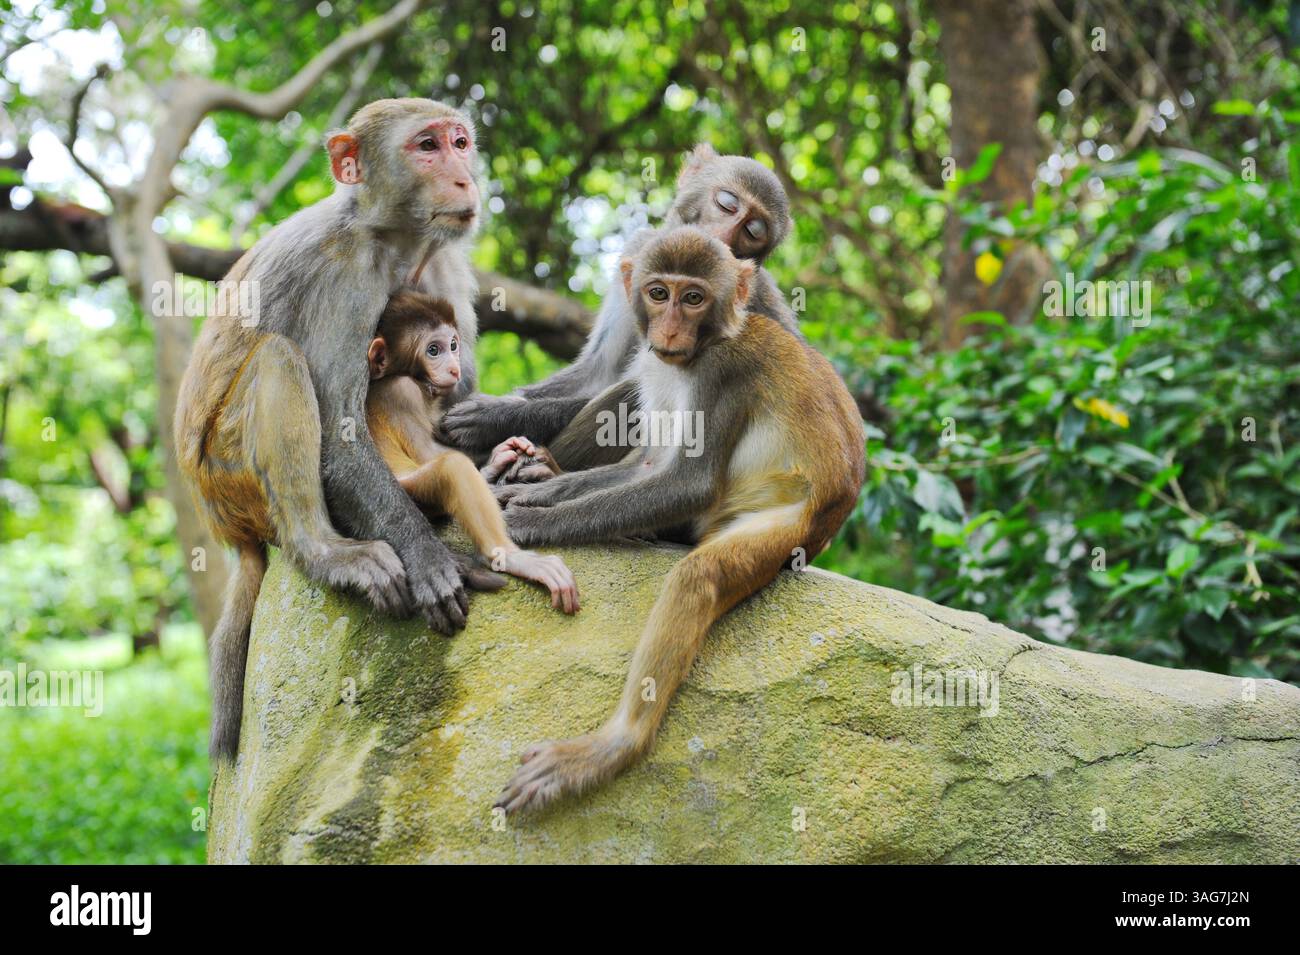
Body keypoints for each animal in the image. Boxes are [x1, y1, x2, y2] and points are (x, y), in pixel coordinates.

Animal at [174, 99, 494, 762]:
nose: (464, 179)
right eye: (427, 146)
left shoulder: (445, 266)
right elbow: (341, 438)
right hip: (226, 475)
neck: (392, 241)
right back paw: (323, 551)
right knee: (279, 360)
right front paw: (427, 557)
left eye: (459, 142)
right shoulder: (343, 280)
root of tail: (223, 525)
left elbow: (455, 406)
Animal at [365, 289, 579, 613]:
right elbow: (428, 453)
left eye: (453, 345)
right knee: (451, 469)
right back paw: (508, 556)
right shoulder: (402, 393)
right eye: (433, 350)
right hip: (409, 491)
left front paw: (500, 457)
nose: (454, 367)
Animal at [440, 144, 802, 471]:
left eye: (753, 231)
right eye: (727, 203)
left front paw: (500, 415)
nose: (722, 238)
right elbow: (599, 368)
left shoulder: (750, 294)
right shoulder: (638, 250)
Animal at [492, 226, 866, 814]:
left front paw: (530, 526)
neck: (695, 352)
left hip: (785, 531)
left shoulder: (725, 371)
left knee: (699, 576)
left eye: (693, 298)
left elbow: (688, 482)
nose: (669, 329)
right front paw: (533, 490)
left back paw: (611, 747)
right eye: (658, 293)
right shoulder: (655, 367)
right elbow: (649, 464)